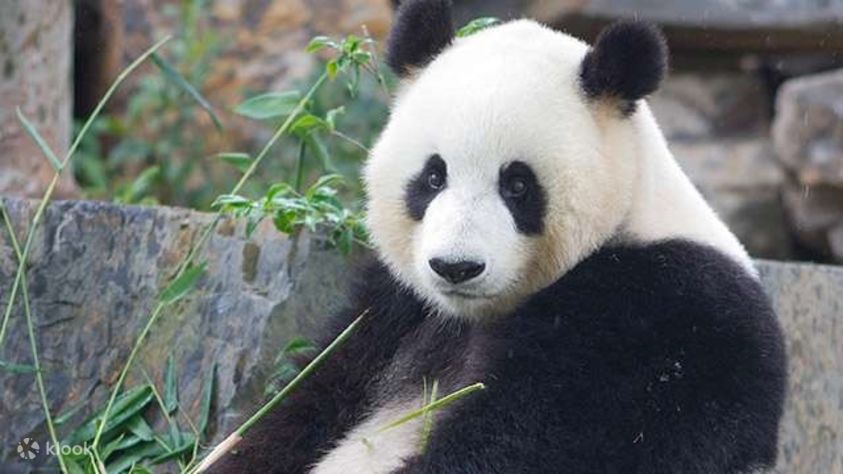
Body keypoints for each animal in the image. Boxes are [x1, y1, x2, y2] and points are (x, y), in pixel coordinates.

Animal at [212, 1, 787, 472]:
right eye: (434, 176)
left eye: (517, 185)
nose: (456, 267)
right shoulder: (393, 309)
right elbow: (306, 400)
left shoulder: (662, 317)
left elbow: (537, 439)